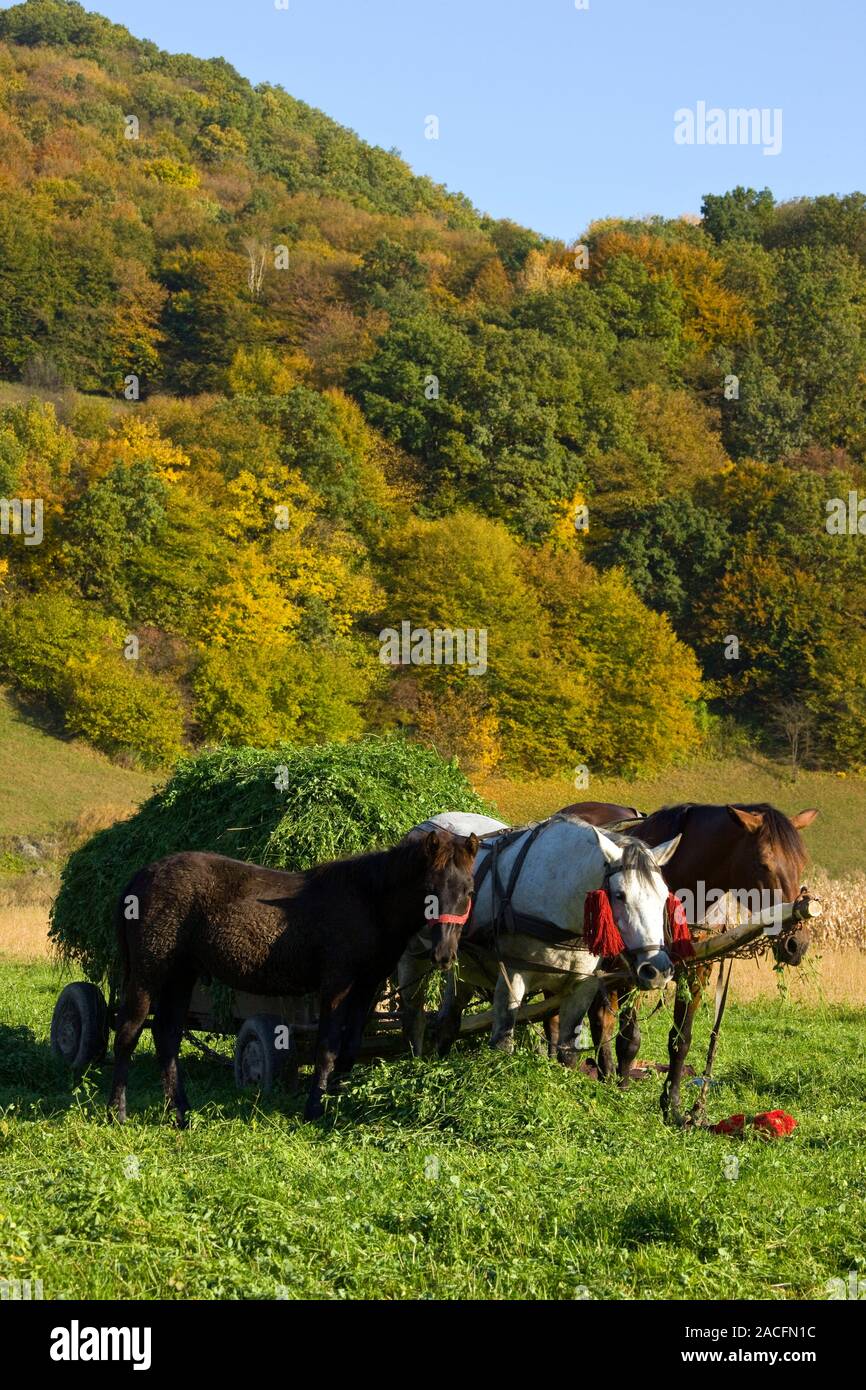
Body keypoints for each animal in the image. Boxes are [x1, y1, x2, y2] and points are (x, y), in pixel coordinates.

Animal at [109, 829, 477, 1125]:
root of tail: (141, 876)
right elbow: (327, 1047)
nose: (444, 955)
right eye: (430, 888)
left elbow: (350, 1047)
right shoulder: (336, 985)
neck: (367, 901)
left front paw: (338, 1099)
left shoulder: (366, 988)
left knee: (166, 1036)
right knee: (128, 1032)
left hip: (180, 976)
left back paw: (181, 1111)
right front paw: (314, 1108)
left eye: (469, 890)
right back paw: (118, 1112)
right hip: (149, 974)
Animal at [398, 812, 681, 1063]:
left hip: (466, 966)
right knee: (413, 1014)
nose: (657, 970)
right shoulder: (512, 974)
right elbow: (503, 1043)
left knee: (449, 1019)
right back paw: (414, 1063)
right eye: (620, 895)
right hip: (413, 956)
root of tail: (426, 825)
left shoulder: (583, 985)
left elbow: (568, 1051)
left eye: (664, 896)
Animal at [559, 801, 818, 1122]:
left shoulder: (696, 970)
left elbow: (681, 1040)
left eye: (801, 864)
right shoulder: (632, 971)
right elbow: (629, 1039)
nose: (797, 943)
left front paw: (673, 1106)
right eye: (763, 863)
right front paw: (621, 1089)